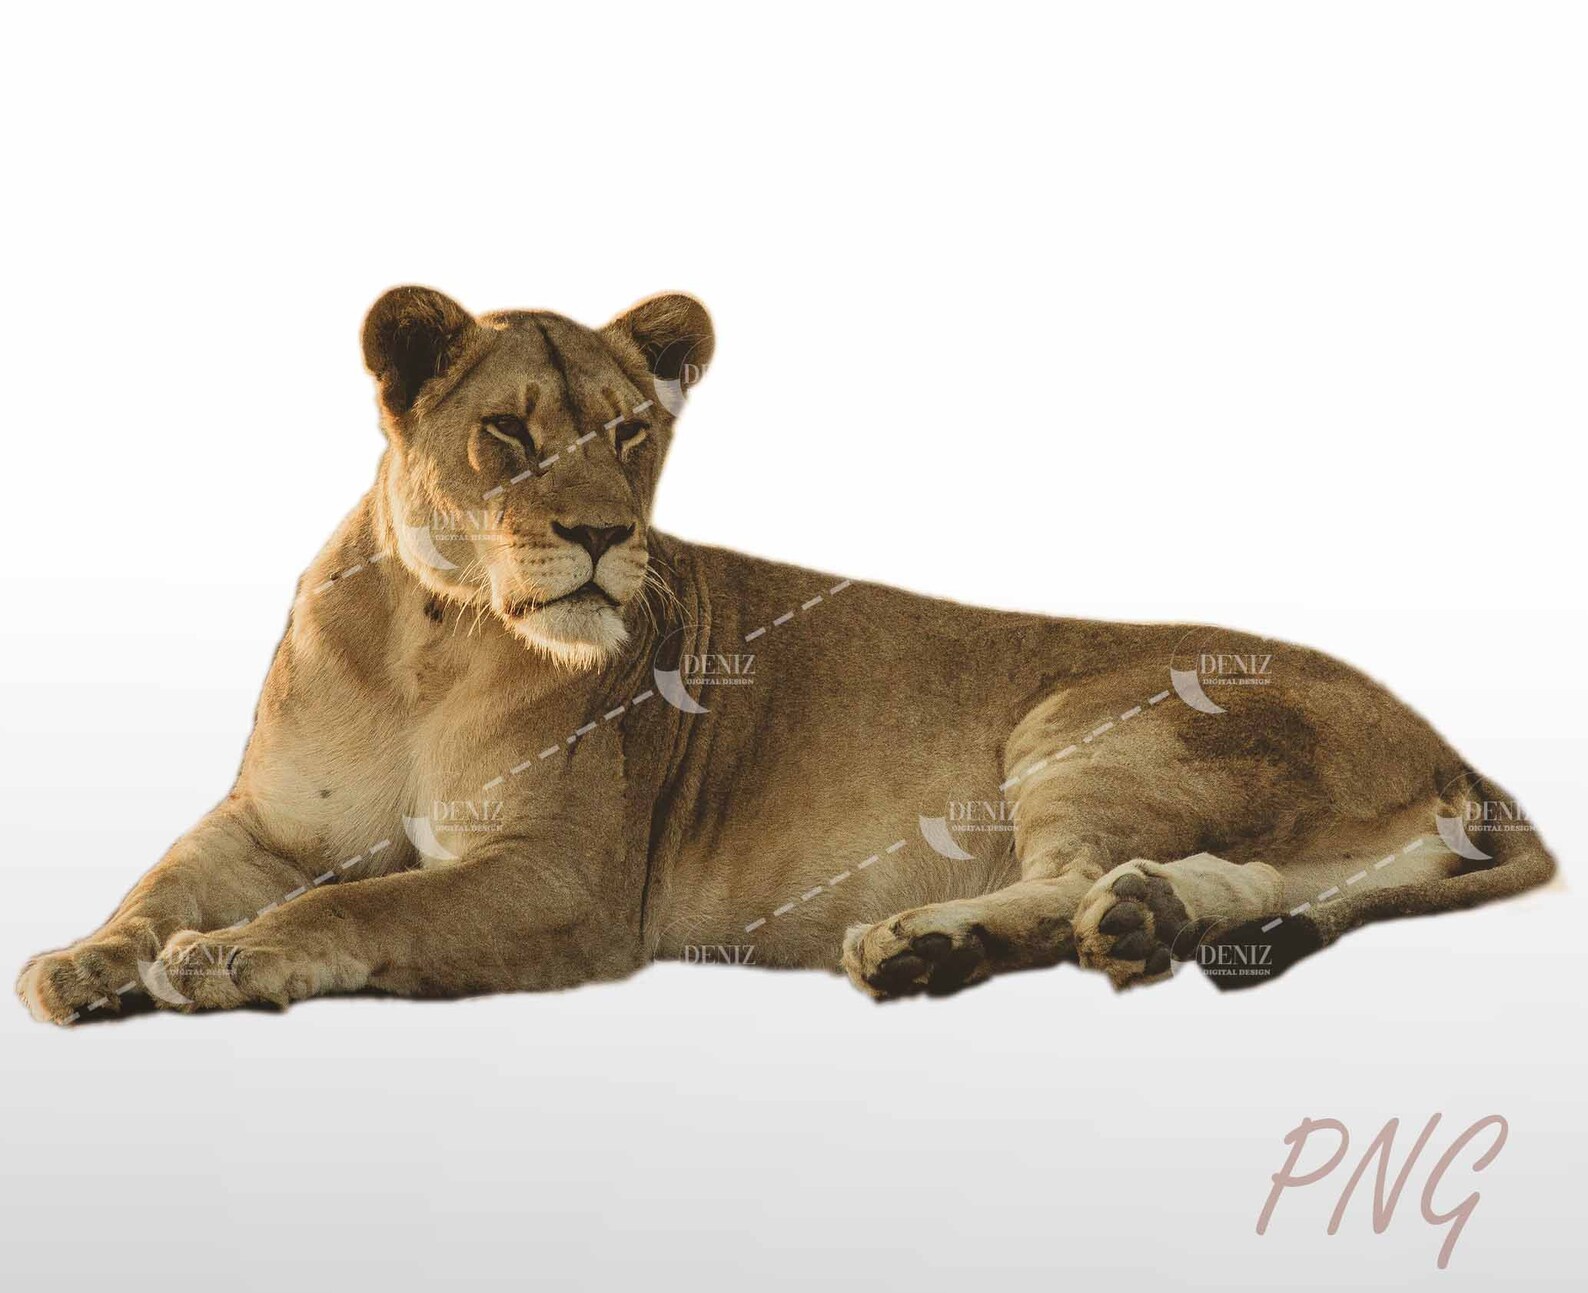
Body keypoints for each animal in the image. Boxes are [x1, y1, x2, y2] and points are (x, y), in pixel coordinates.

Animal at [17, 287, 1558, 1022]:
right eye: (506, 434)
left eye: (633, 431)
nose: (601, 533)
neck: (429, 639)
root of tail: (1453, 749)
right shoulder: (269, 822)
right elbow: (164, 881)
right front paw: (78, 963)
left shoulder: (565, 885)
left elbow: (369, 906)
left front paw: (227, 960)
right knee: (1231, 889)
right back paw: (1134, 924)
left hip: (1092, 717)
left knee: (1076, 874)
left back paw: (944, 942)